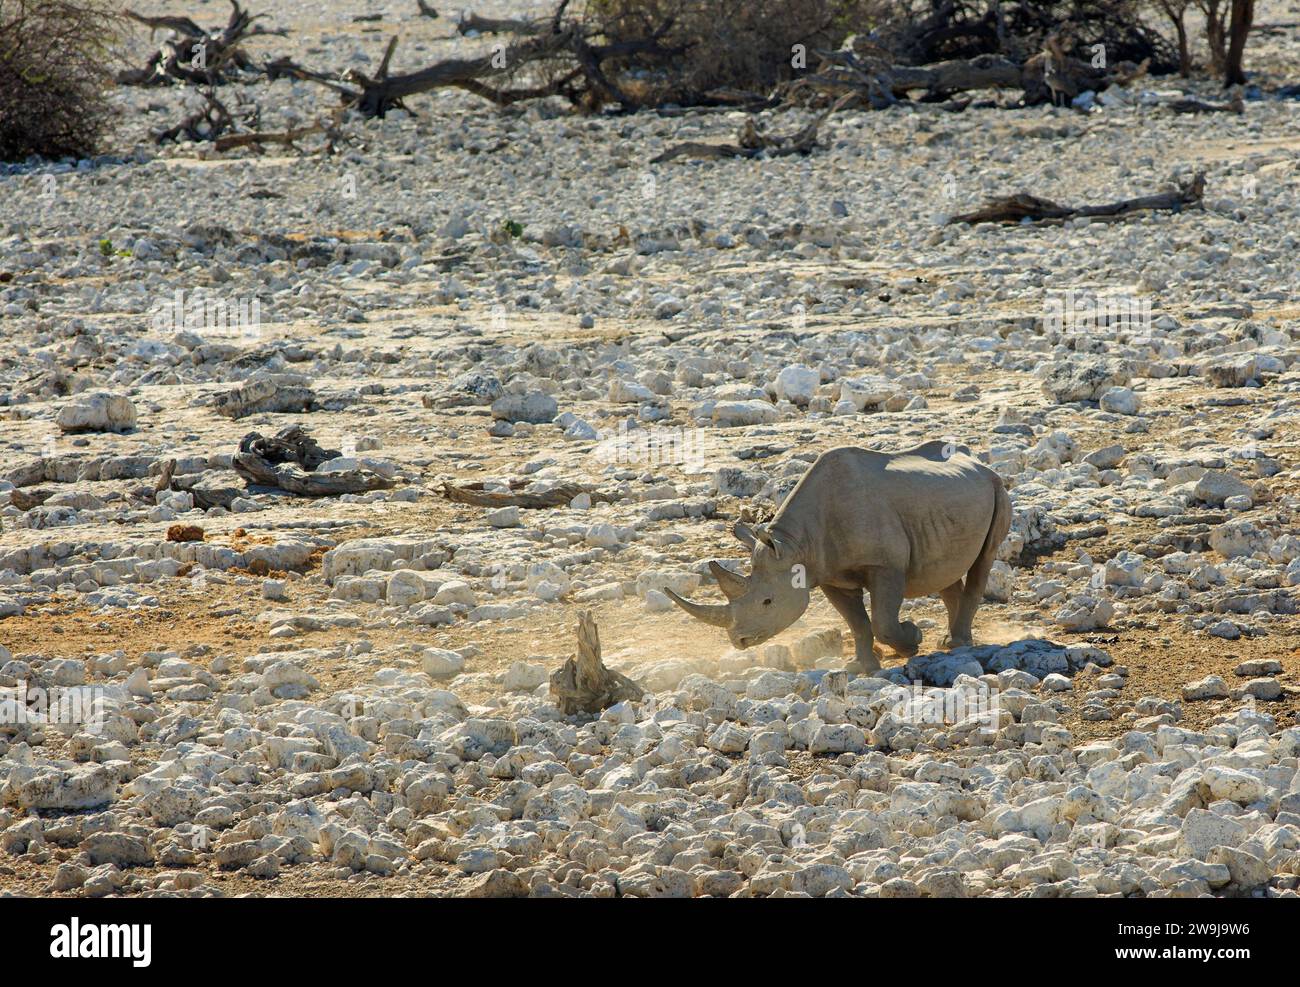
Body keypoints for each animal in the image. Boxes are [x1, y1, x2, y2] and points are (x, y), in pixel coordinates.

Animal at [666, 441, 1011, 671]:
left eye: (767, 602)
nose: (738, 641)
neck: (793, 546)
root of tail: (978, 461)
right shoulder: (827, 574)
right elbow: (857, 622)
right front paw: (862, 668)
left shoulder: (885, 566)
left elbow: (883, 621)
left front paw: (912, 639)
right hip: (947, 502)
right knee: (944, 570)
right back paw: (948, 642)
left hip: (997, 488)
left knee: (983, 560)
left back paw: (957, 645)